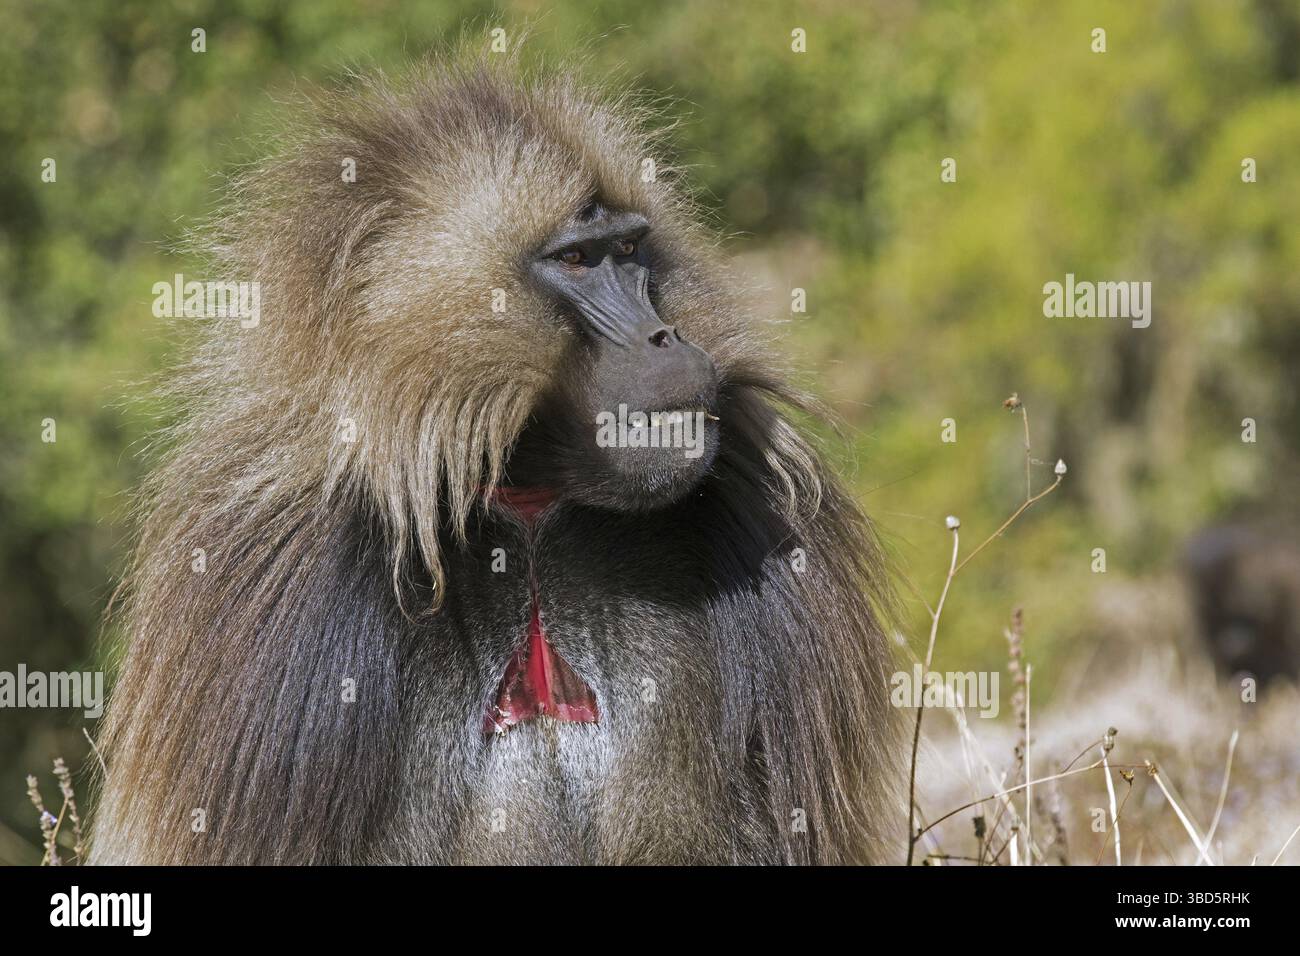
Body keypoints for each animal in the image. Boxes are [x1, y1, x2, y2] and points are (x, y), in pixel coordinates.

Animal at [91, 51, 898, 865]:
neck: (524, 501)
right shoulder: (275, 591)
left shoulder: (751, 508)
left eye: (629, 251)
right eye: (575, 259)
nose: (666, 339)